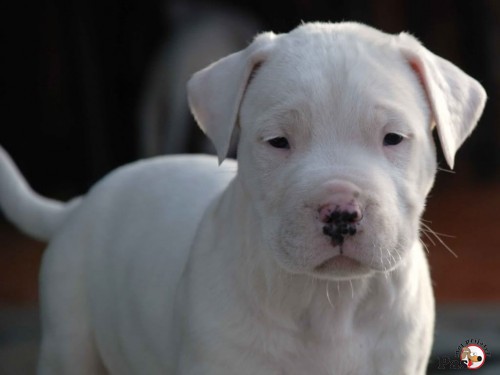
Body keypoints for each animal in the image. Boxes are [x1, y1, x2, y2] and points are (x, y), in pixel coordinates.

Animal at [0, 22, 484, 374]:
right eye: (278, 142)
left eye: (394, 138)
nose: (340, 213)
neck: (327, 300)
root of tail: (78, 205)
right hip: (69, 338)